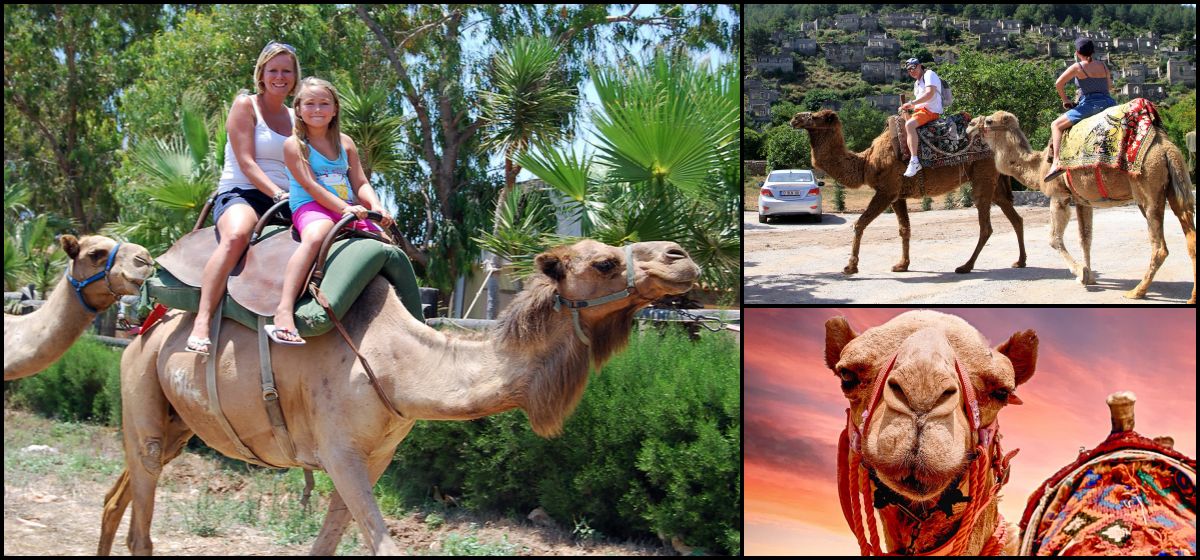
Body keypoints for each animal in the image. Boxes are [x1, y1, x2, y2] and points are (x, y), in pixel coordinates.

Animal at [97, 239, 699, 555]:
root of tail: (143, 328)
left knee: (116, 495)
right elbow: (383, 545)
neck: (394, 363)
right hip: (144, 396)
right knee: (141, 526)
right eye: (603, 262)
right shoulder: (339, 452)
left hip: (174, 422)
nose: (680, 256)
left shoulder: (376, 456)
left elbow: (326, 545)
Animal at [789, 110, 1027, 275]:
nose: (794, 118)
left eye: (816, 116)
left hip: (982, 176)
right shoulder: (897, 195)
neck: (866, 162)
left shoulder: (885, 191)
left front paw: (850, 267)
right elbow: (904, 229)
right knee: (1015, 218)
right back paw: (1020, 261)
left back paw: (965, 266)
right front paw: (902, 265)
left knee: (986, 226)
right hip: (994, 182)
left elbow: (859, 224)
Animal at [966, 111, 1196, 303]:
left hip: (1148, 190)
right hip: (1175, 188)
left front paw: (1081, 274)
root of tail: (1166, 148)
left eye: (988, 121)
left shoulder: (1058, 196)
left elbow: (1054, 239)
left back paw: (1136, 292)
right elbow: (1085, 239)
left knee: (1159, 247)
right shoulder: (1083, 201)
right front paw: (1090, 275)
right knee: (1190, 236)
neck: (1039, 167)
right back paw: (1190, 297)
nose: (969, 126)